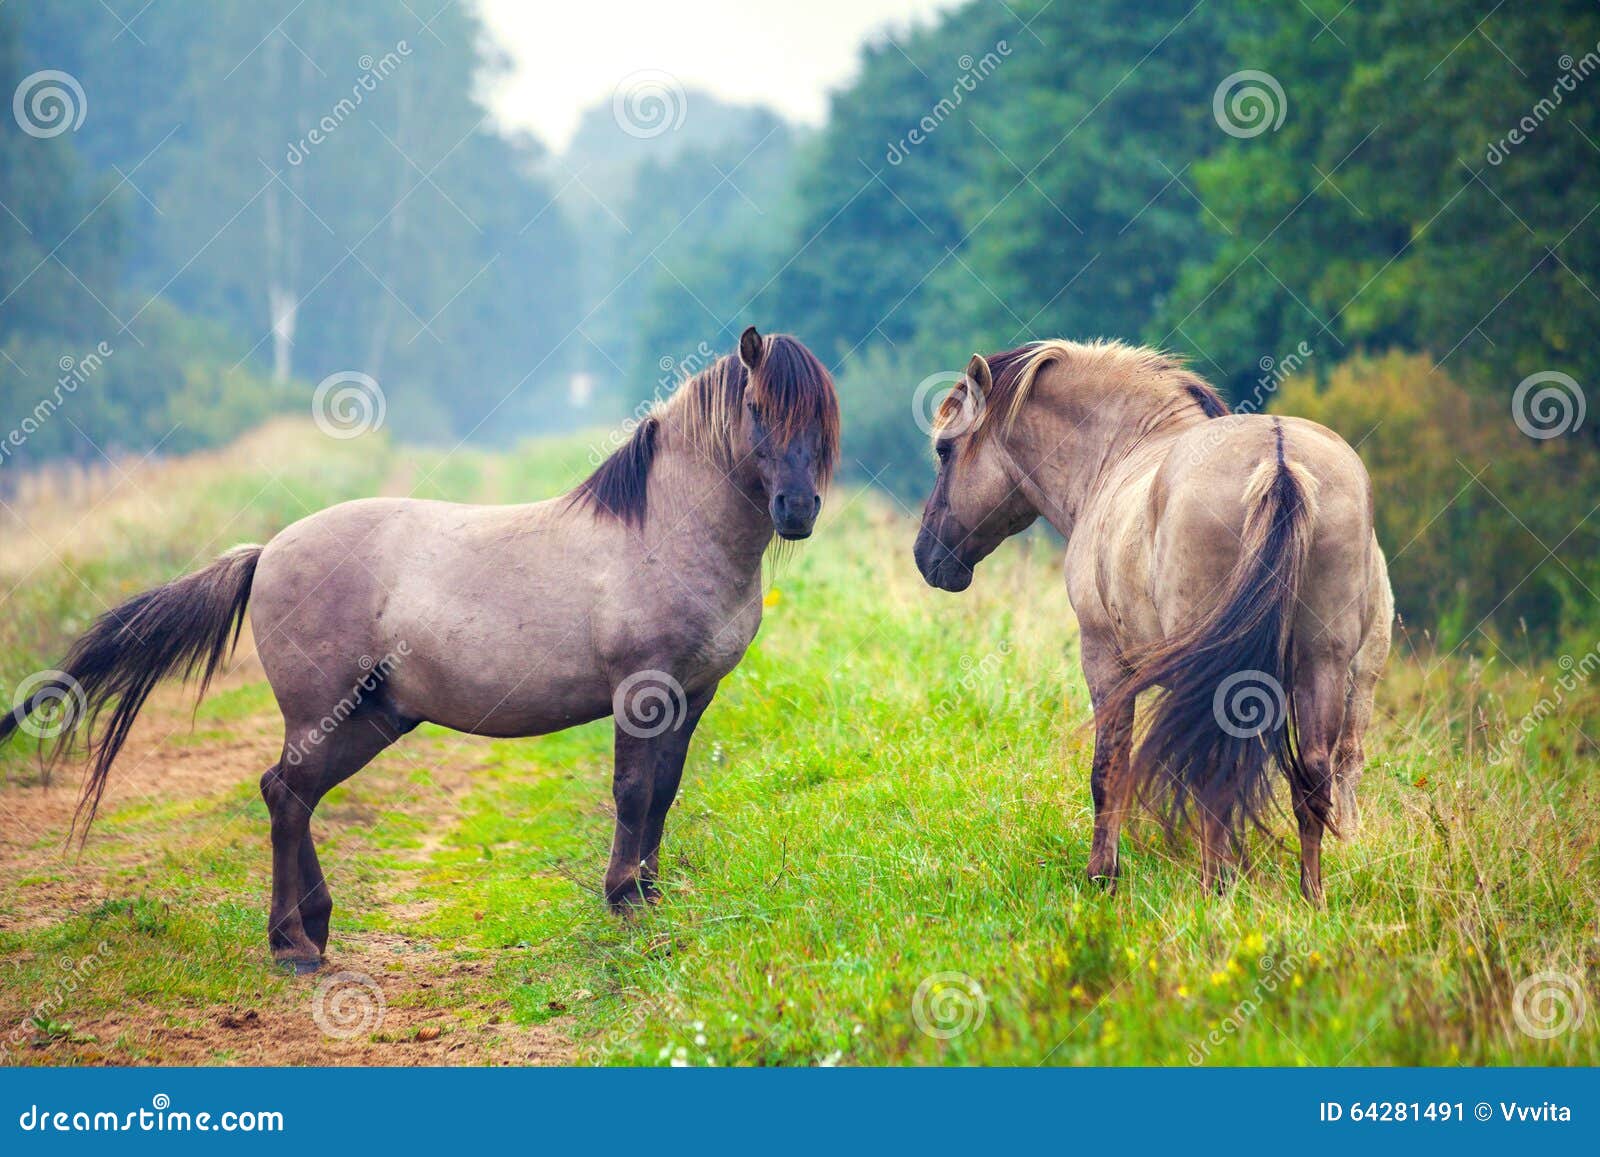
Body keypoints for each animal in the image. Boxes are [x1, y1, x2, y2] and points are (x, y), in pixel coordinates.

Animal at [1, 326, 839, 971]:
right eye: (758, 409)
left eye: (820, 420)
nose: (798, 509)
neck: (664, 530)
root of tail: (267, 551)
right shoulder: (643, 690)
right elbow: (632, 793)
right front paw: (624, 902)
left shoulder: (692, 697)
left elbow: (663, 793)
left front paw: (651, 898)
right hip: (321, 710)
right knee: (286, 795)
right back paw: (291, 945)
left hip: (375, 716)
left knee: (291, 792)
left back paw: (315, 927)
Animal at [913, 339, 1392, 903]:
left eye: (946, 450)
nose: (926, 556)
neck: (1121, 451)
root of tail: (1280, 460)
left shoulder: (1104, 658)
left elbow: (1108, 768)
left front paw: (1102, 874)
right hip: (1324, 664)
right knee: (1314, 776)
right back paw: (1310, 898)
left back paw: (1213, 890)